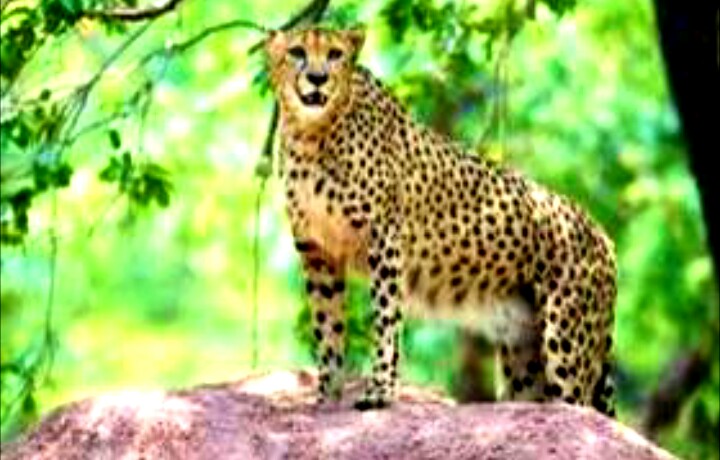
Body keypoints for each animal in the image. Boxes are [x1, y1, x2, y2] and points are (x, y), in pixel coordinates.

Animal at [264, 26, 617, 415]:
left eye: (335, 54)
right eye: (297, 52)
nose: (317, 78)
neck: (312, 134)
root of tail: (603, 235)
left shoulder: (384, 239)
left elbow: (386, 318)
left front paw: (380, 391)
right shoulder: (316, 250)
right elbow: (327, 328)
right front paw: (327, 395)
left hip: (565, 348)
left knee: (579, 406)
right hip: (525, 354)